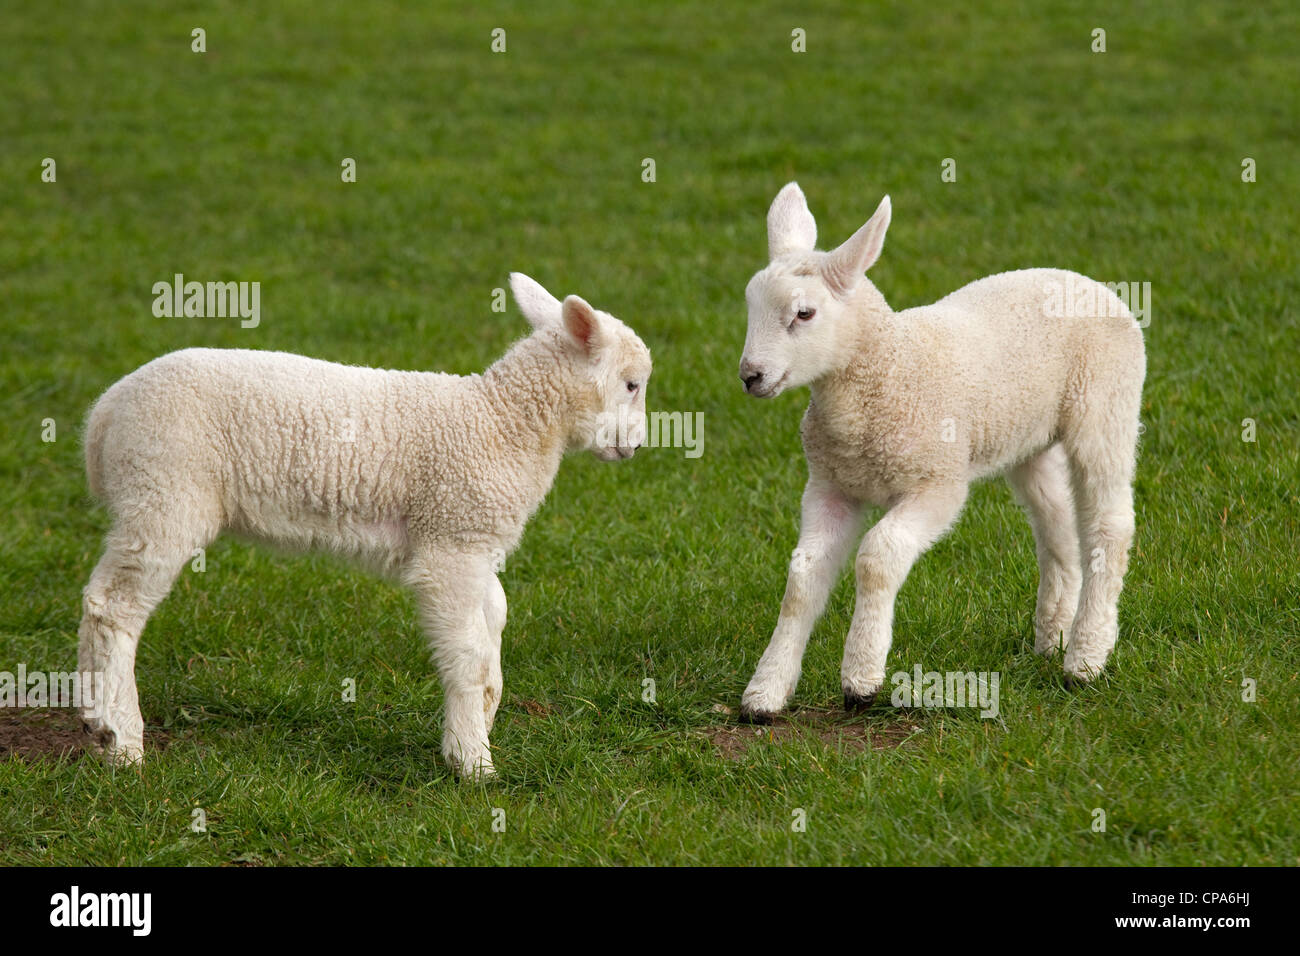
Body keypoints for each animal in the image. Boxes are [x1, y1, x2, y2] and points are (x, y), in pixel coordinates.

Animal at [78, 273, 653, 778]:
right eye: (631, 385)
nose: (637, 447)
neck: (503, 420)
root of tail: (104, 415)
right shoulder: (451, 541)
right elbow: (468, 656)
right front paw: (473, 763)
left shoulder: (476, 541)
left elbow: (494, 630)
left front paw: (480, 722)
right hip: (164, 492)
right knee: (113, 607)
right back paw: (121, 738)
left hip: (150, 493)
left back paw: (92, 720)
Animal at [737, 183, 1145, 721]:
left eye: (804, 314)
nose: (750, 376)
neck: (885, 372)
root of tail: (1090, 283)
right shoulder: (829, 486)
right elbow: (802, 579)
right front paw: (766, 690)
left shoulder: (937, 483)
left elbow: (877, 556)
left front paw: (861, 676)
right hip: (1027, 440)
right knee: (1056, 526)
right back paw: (1053, 636)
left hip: (1106, 406)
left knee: (1109, 524)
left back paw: (1085, 658)